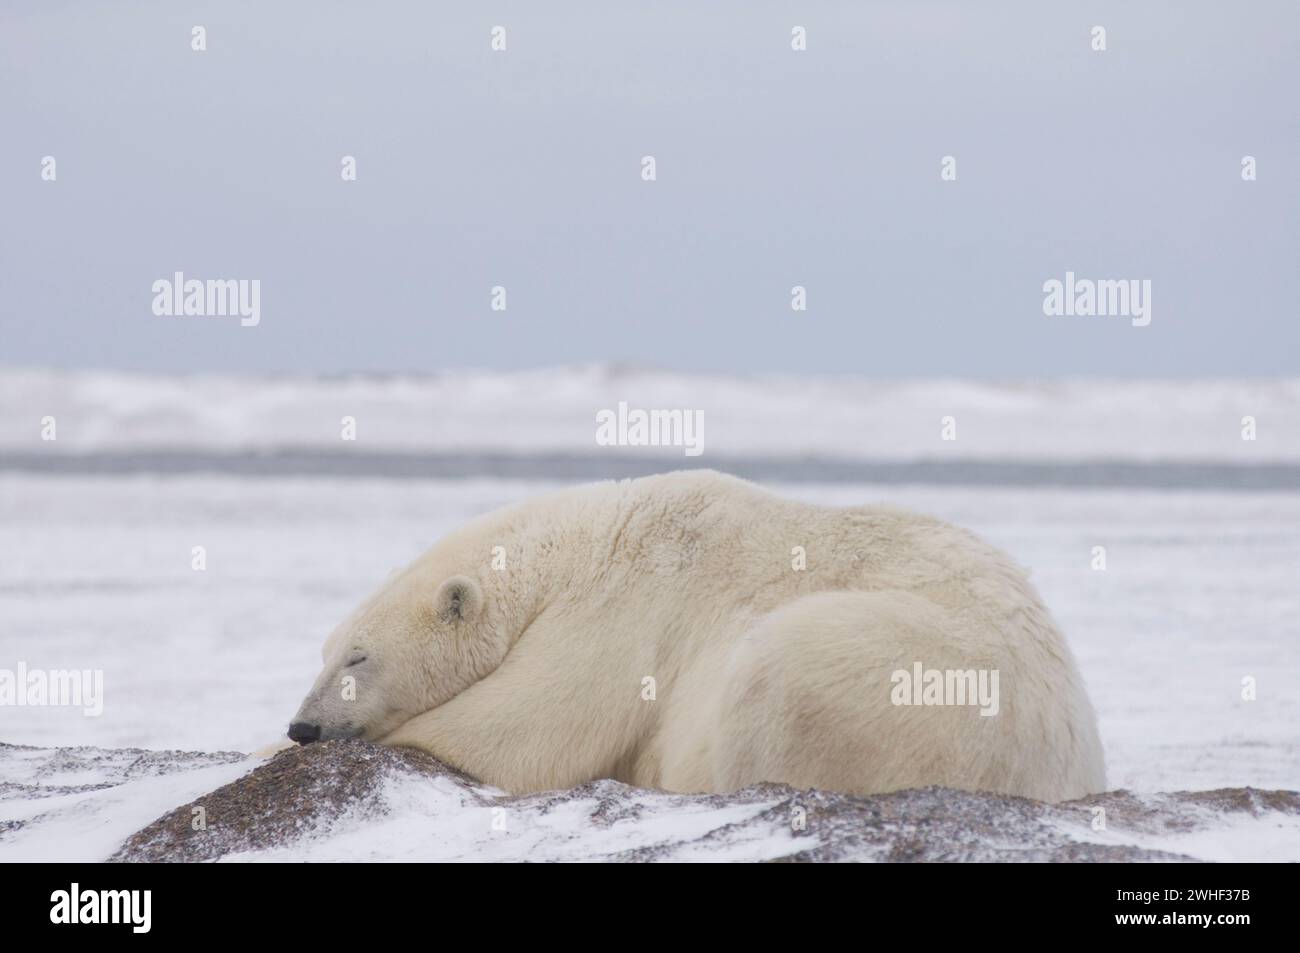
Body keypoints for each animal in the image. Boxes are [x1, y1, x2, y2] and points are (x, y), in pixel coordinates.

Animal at [288, 469, 1106, 802]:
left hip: (916, 675)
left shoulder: (625, 606)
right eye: (323, 652)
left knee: (774, 671)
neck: (581, 545)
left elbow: (529, 730)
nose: (303, 725)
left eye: (358, 656)